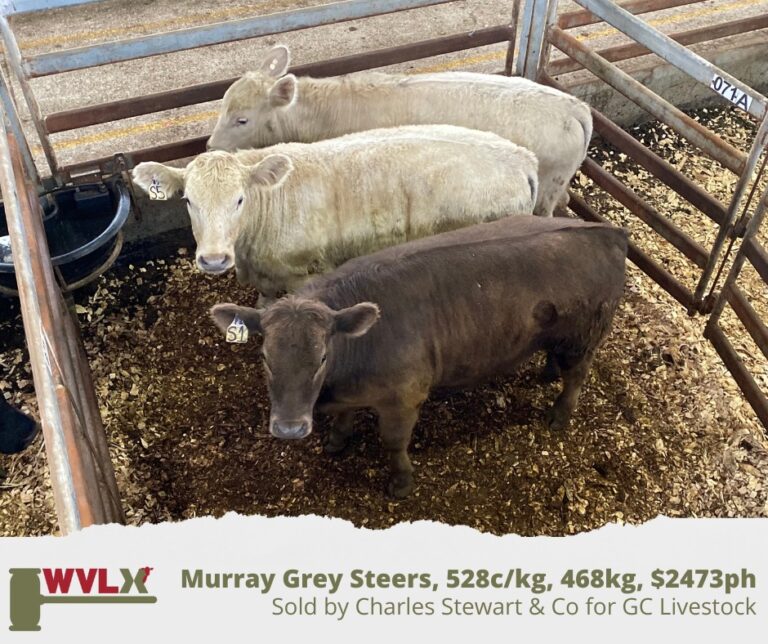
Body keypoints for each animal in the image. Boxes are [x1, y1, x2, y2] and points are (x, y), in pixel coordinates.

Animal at [210, 216, 628, 498]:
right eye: (265, 357)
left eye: (323, 357)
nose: (289, 429)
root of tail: (605, 230)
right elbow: (345, 418)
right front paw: (337, 440)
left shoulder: (403, 399)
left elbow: (394, 443)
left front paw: (401, 482)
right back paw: (547, 371)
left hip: (585, 337)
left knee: (577, 377)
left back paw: (559, 415)